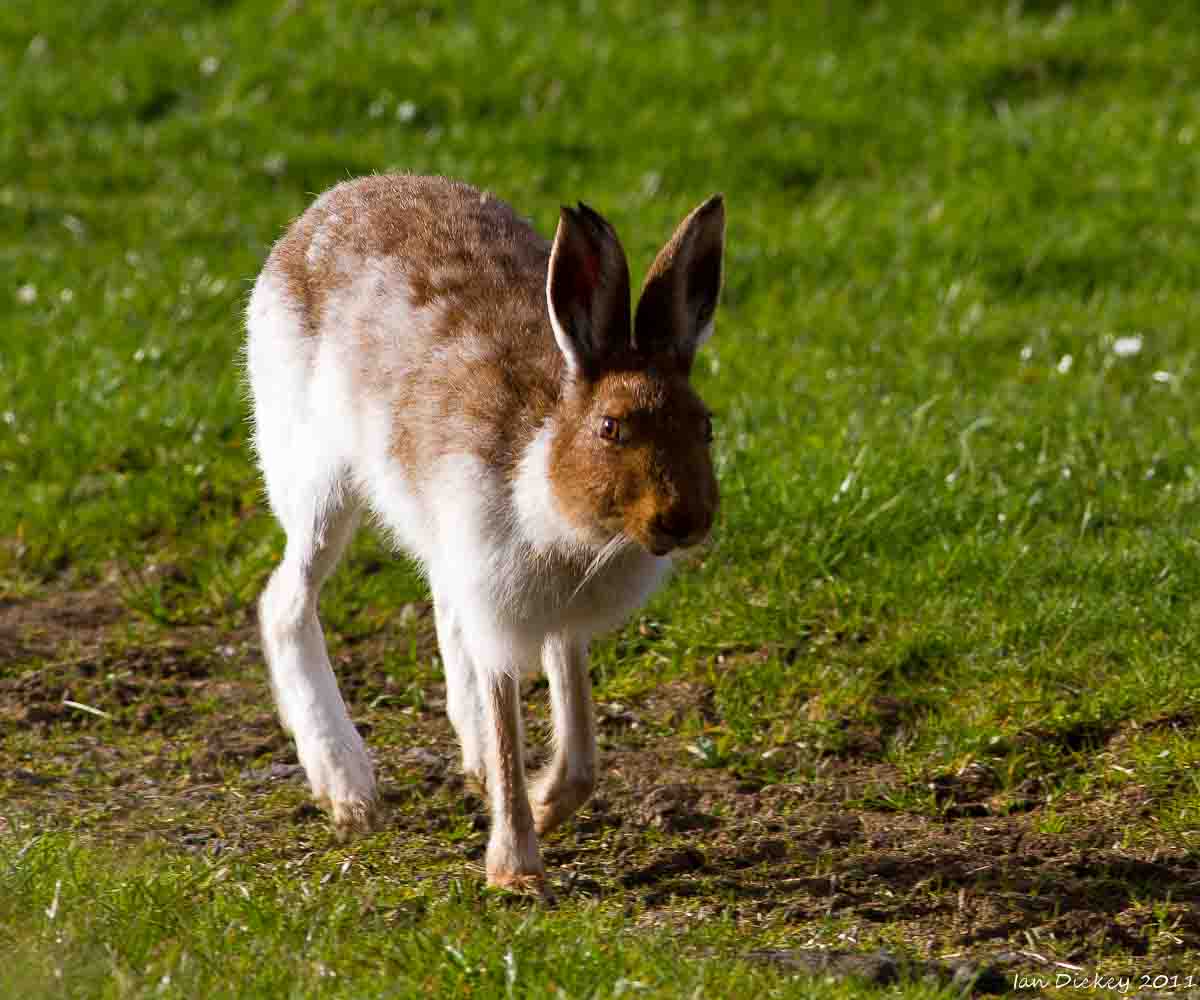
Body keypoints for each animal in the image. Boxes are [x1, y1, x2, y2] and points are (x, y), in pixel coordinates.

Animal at [245, 174, 724, 889]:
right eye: (611, 428)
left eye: (706, 425)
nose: (686, 520)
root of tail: (326, 207)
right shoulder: (499, 603)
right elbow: (506, 719)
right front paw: (516, 869)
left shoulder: (561, 623)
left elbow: (581, 754)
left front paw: (548, 805)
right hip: (319, 484)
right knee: (286, 602)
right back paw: (348, 788)